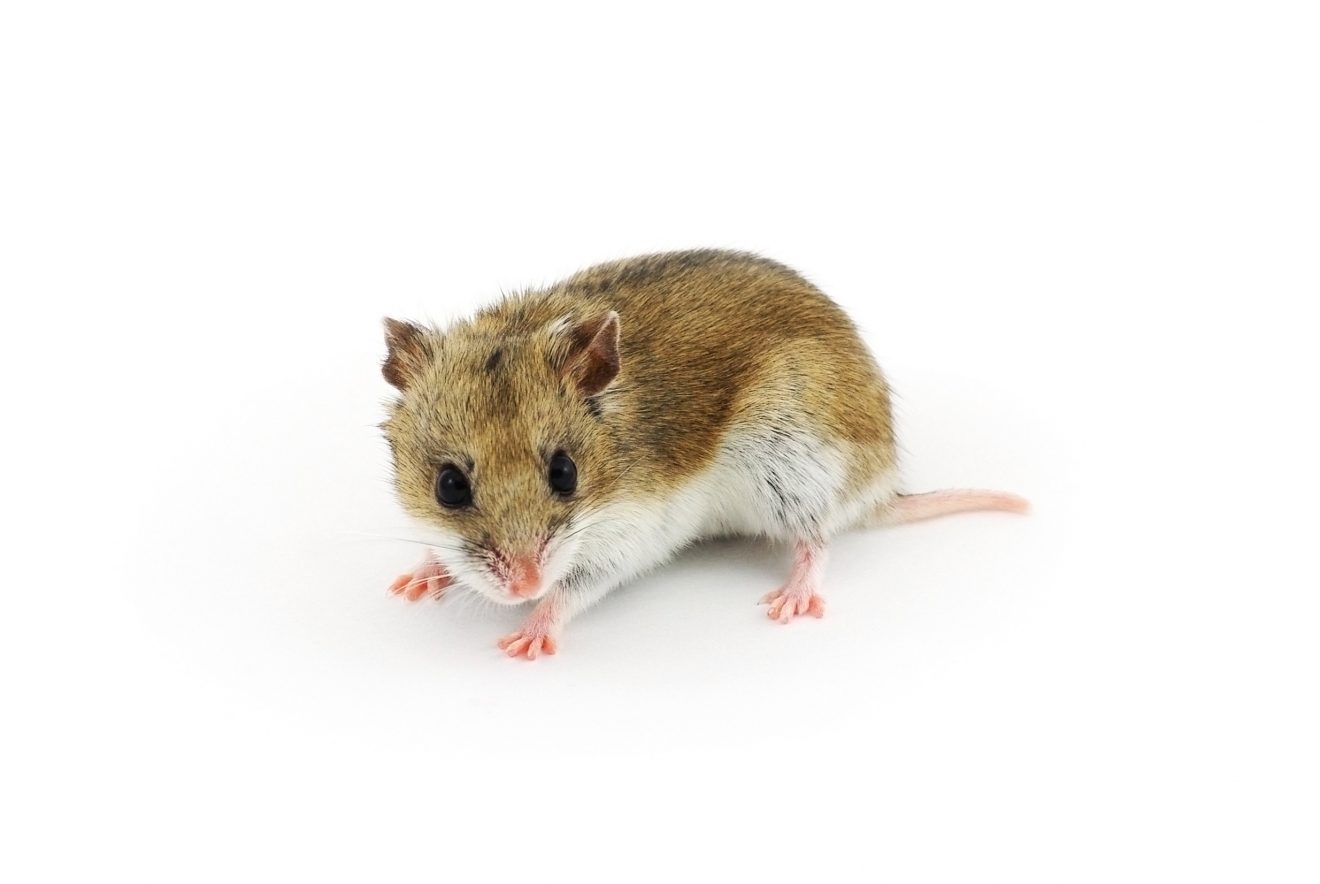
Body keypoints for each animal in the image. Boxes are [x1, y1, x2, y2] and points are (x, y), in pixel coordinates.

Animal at [381, 249, 1027, 659]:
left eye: (565, 473)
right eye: (448, 486)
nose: (522, 587)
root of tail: (884, 483)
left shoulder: (626, 538)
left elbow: (573, 590)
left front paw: (524, 641)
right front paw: (412, 583)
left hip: (791, 465)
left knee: (816, 539)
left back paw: (790, 601)